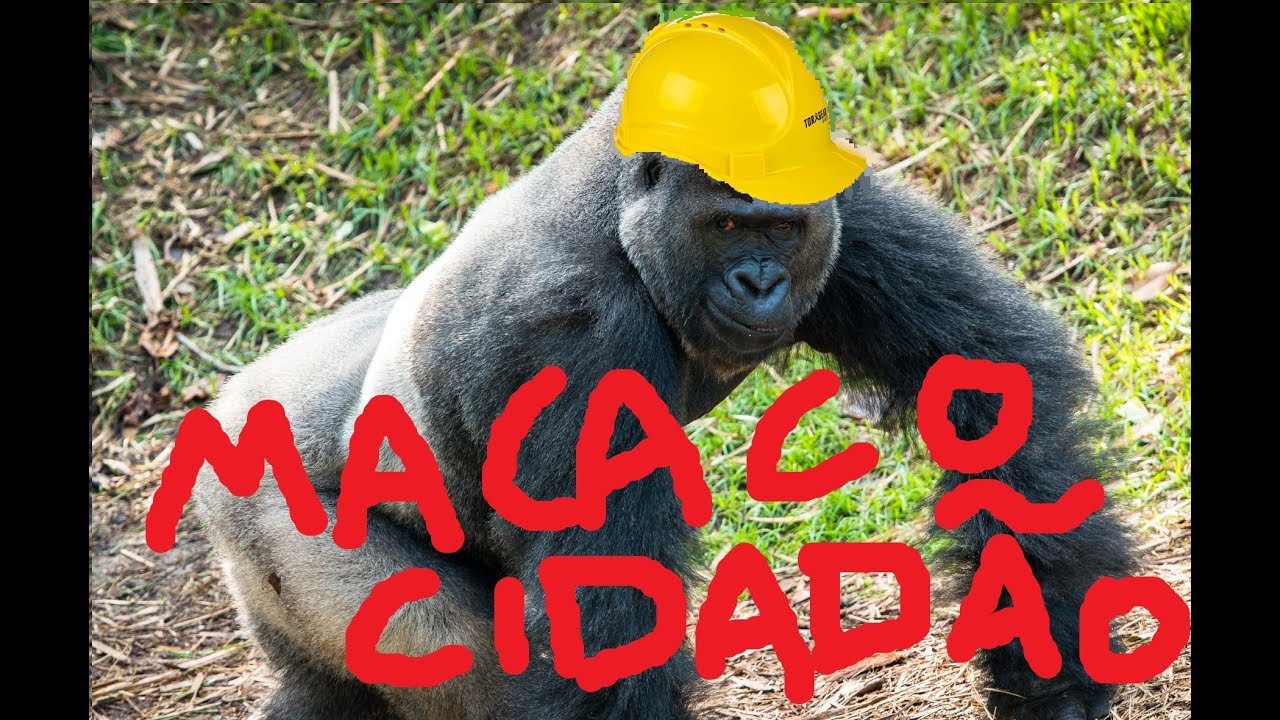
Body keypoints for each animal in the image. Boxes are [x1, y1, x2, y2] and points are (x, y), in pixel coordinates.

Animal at [190, 85, 1135, 720]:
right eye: (726, 224)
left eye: (781, 226)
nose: (759, 283)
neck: (617, 206)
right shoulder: (573, 331)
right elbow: (607, 616)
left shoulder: (840, 200)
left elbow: (986, 381)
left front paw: (1053, 660)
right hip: (267, 519)